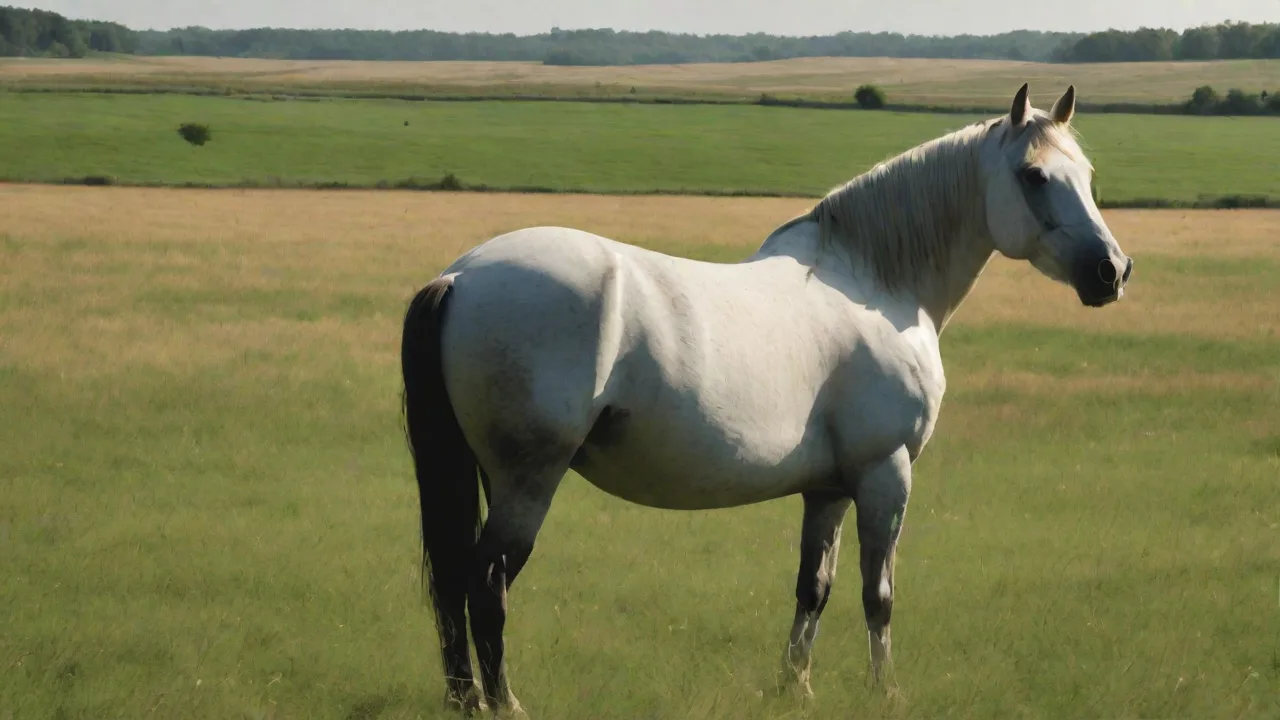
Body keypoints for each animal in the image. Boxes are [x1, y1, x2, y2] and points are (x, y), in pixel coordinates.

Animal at [399, 83, 1133, 714]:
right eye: (1034, 177)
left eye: (1087, 175)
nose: (1111, 272)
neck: (875, 280)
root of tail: (460, 276)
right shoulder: (884, 474)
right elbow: (878, 594)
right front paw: (885, 692)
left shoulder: (828, 489)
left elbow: (815, 587)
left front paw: (795, 687)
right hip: (528, 482)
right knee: (486, 585)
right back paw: (504, 704)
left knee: (458, 584)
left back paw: (466, 700)